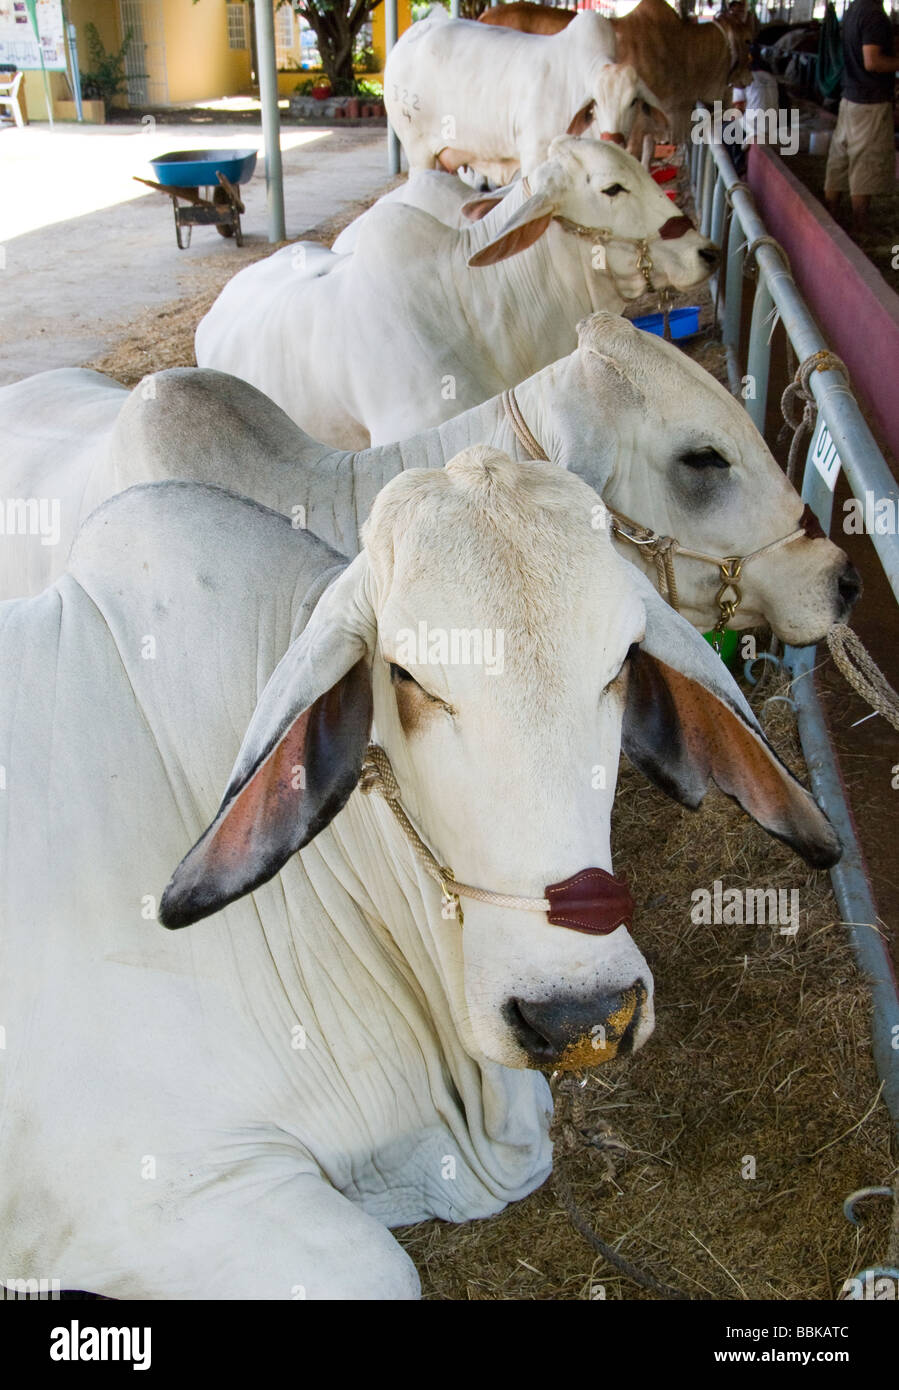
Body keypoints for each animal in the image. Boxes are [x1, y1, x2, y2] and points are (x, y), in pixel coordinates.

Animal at [384, 9, 660, 181]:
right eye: (596, 102)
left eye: (633, 101)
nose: (614, 139)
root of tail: (406, 39)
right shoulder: (535, 156)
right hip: (418, 151)